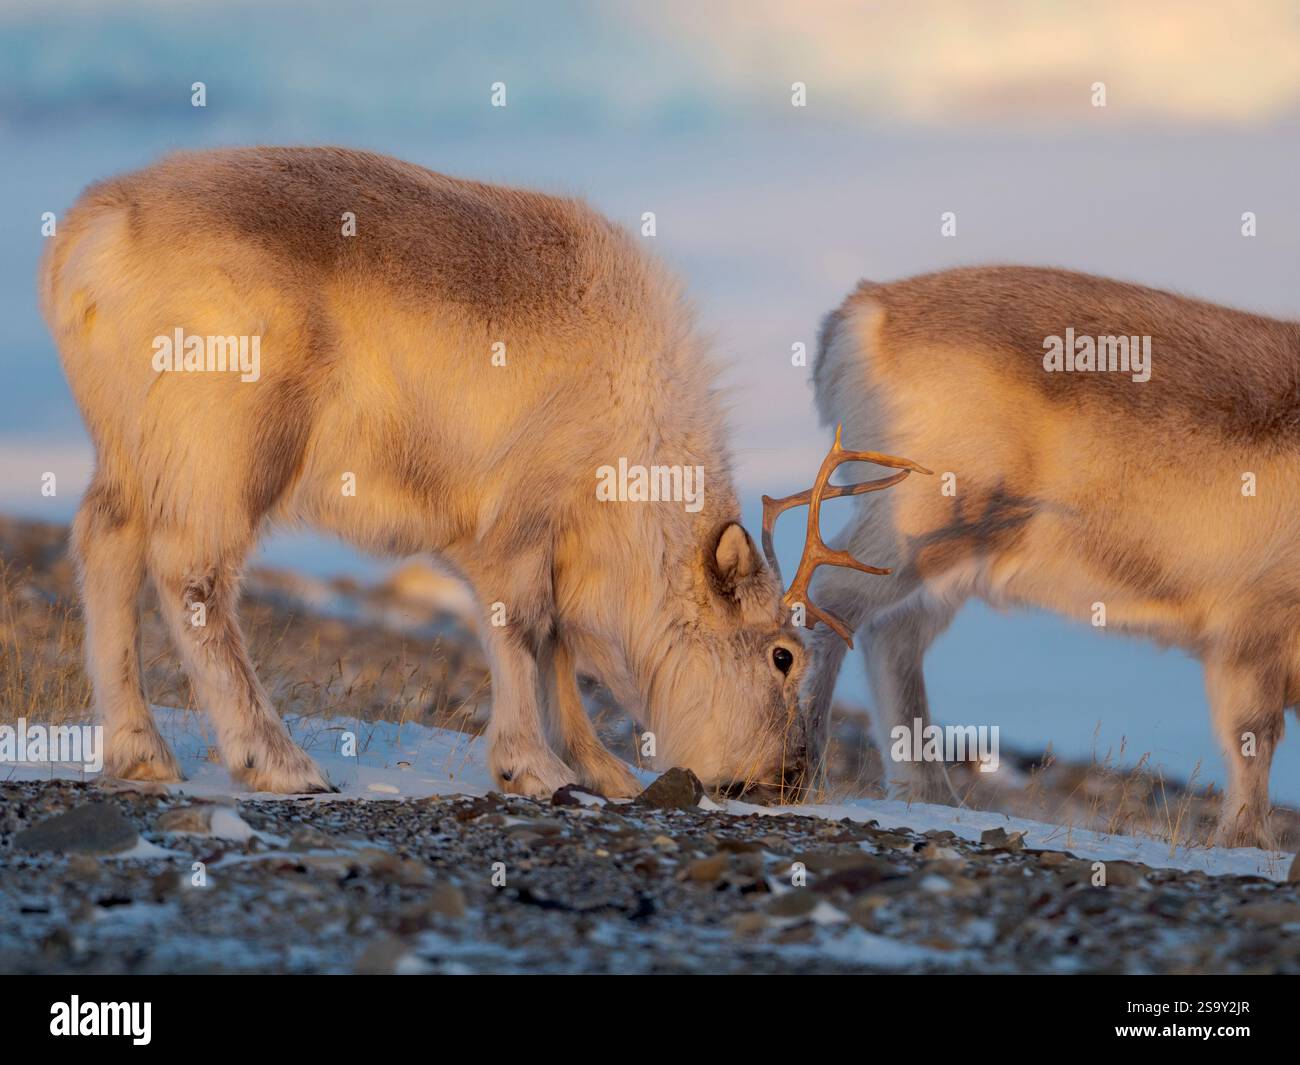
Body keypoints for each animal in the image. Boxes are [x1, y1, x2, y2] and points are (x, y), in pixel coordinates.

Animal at [38, 145, 818, 800]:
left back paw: (141, 752)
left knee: (105, 543)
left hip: (128, 449)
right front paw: (533, 767)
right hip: (227, 445)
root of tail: (92, 237)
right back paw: (278, 760)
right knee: (190, 575)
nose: (790, 779)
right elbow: (525, 631)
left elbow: (558, 651)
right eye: (783, 656)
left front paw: (604, 770)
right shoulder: (521, 521)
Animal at [798, 265, 1300, 849]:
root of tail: (864, 310)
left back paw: (931, 793)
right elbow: (1253, 734)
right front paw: (1246, 842)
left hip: (957, 557)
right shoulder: (1254, 626)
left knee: (893, 634)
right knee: (830, 599)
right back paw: (804, 770)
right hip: (921, 523)